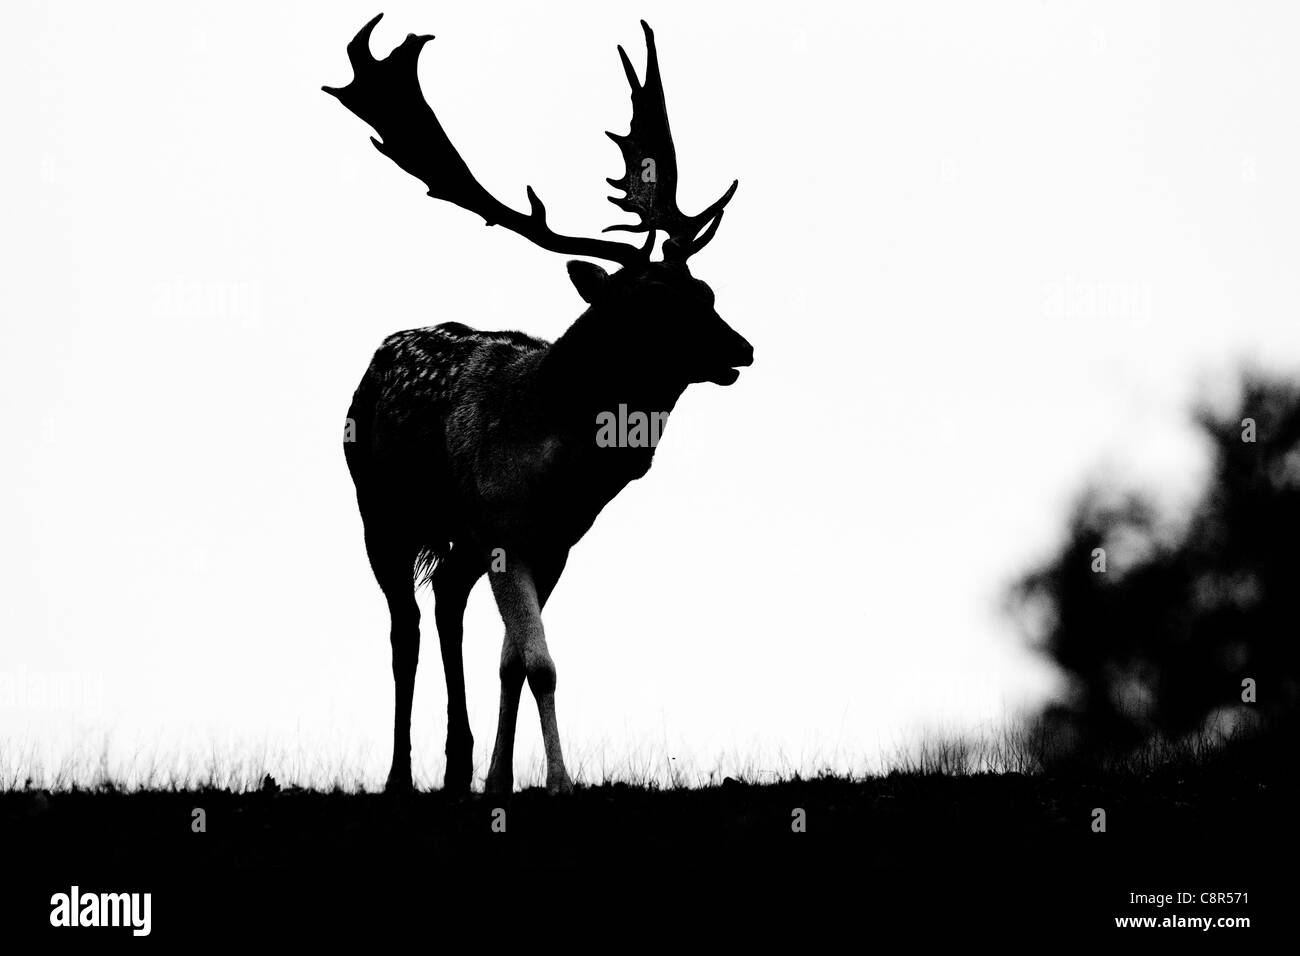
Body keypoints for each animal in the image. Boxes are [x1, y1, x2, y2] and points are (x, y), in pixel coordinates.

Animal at [325, 14, 752, 795]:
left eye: (706, 292)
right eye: (648, 306)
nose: (742, 349)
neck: (558, 470)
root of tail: (373, 361)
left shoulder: (554, 544)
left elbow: (513, 663)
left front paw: (501, 777)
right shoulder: (502, 529)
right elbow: (540, 663)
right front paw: (558, 780)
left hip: (456, 542)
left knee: (446, 603)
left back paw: (459, 765)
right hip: (380, 511)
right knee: (404, 627)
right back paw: (401, 774)